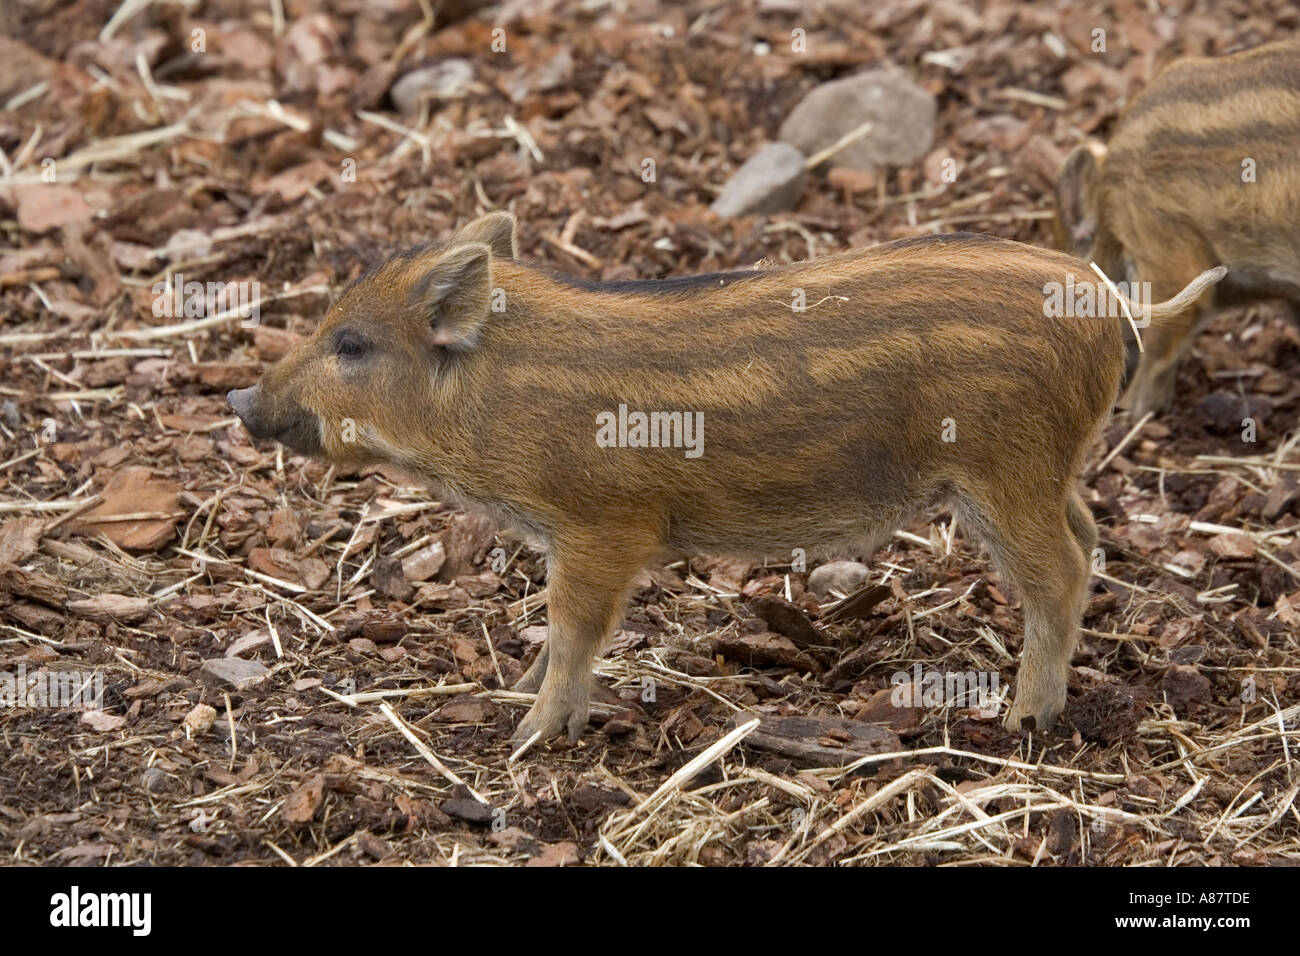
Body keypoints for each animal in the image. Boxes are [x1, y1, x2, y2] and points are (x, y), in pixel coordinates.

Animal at [228, 211, 1221, 744]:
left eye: (352, 345)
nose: (239, 398)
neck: (498, 393)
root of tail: (1110, 300)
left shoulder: (604, 526)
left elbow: (574, 626)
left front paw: (528, 736)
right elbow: (552, 631)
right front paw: (516, 693)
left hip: (1003, 470)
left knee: (1060, 571)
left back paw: (1022, 721)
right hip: (1036, 472)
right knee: (1088, 537)